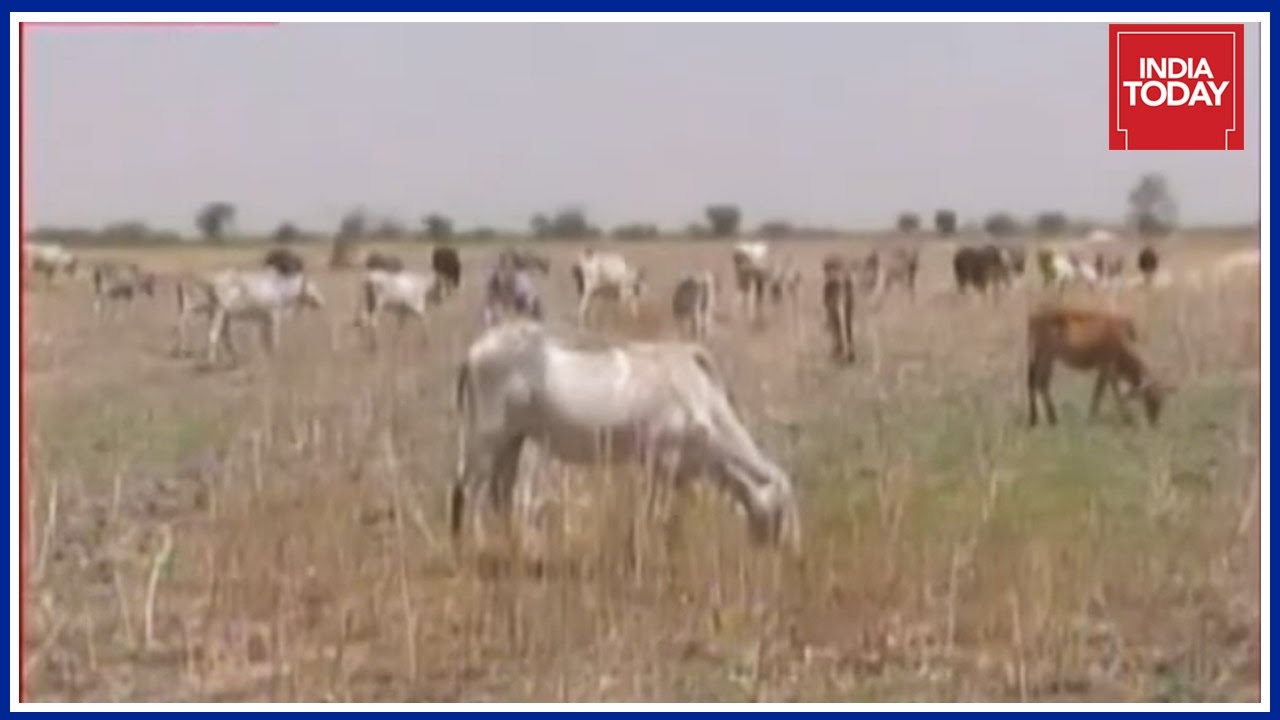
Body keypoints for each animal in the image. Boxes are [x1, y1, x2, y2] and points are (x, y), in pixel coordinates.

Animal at [449, 319, 801, 551]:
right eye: (783, 507)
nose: (787, 549)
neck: (701, 397)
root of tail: (474, 350)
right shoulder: (661, 461)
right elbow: (655, 515)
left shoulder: (681, 471)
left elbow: (674, 517)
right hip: (486, 438)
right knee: (470, 491)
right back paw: (476, 546)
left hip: (513, 440)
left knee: (500, 494)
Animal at [1026, 303, 1173, 427]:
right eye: (1151, 397)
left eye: (1162, 398)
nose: (1154, 422)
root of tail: (1034, 317)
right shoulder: (1108, 367)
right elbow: (1108, 391)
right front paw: (1126, 419)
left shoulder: (1105, 368)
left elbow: (1102, 391)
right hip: (1047, 356)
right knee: (1041, 383)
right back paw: (1052, 419)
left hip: (1042, 357)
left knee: (1034, 383)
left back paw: (1034, 420)